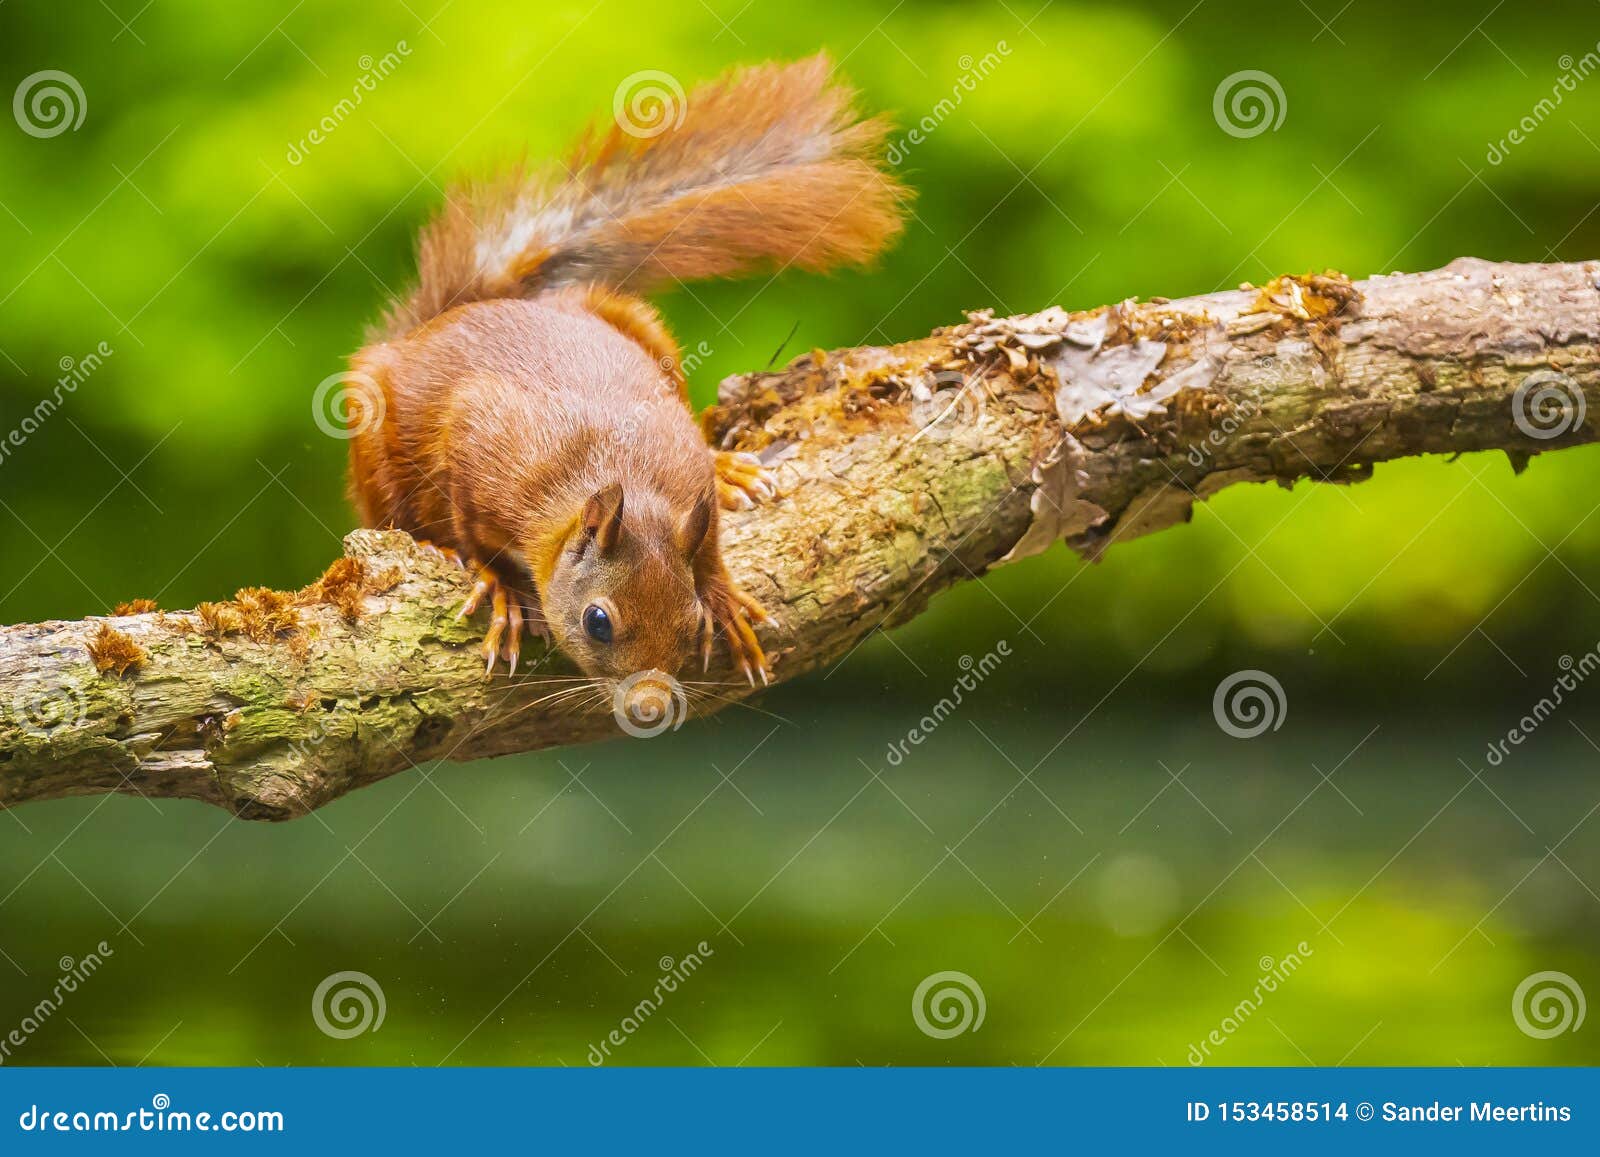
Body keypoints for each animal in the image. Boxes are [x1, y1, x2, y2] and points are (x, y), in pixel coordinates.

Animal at [342, 55, 907, 690]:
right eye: (598, 622)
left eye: (690, 623)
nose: (653, 701)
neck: (622, 477)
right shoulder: (478, 440)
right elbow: (470, 528)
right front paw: (501, 585)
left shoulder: (682, 465)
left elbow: (707, 541)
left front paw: (722, 594)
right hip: (371, 436)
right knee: (391, 513)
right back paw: (431, 546)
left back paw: (730, 470)